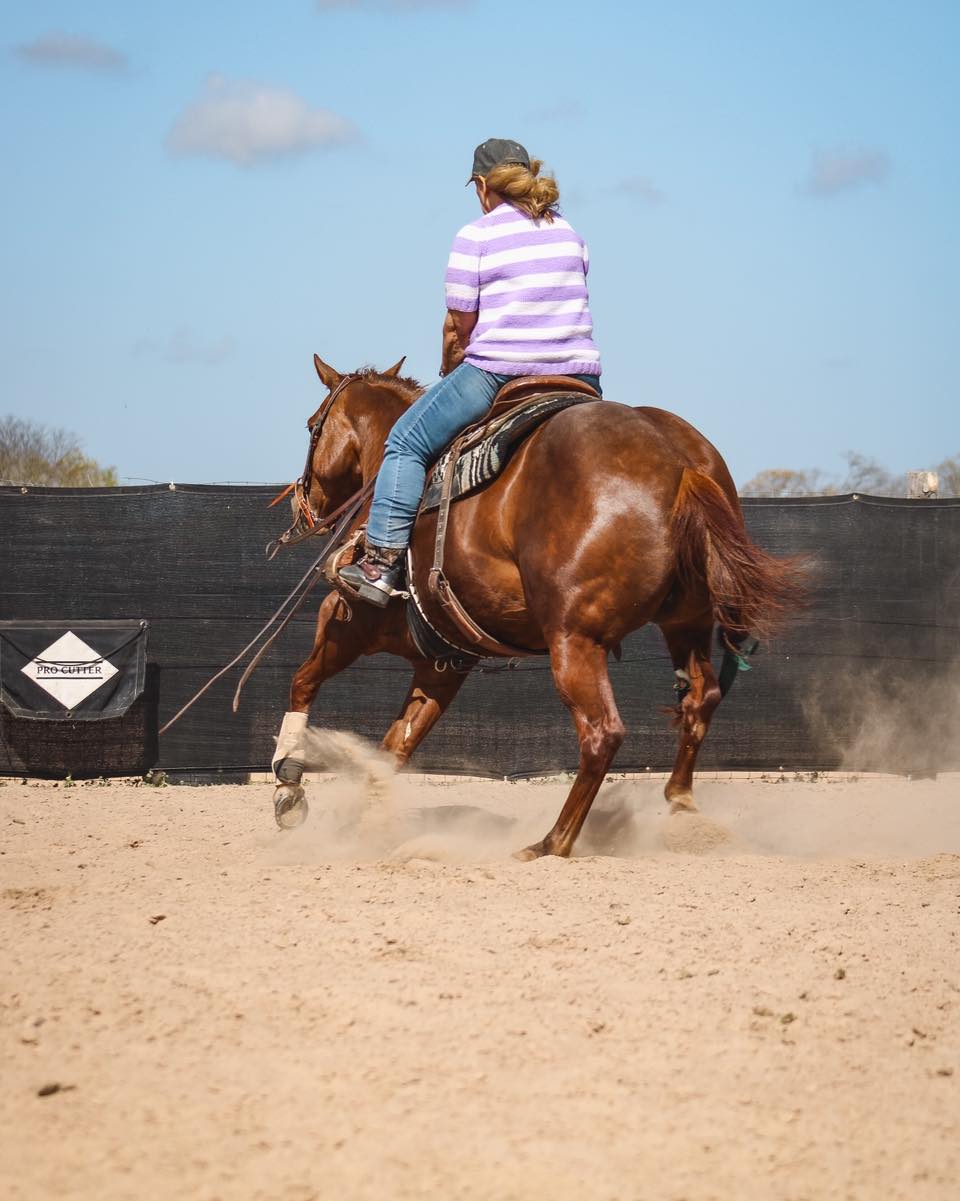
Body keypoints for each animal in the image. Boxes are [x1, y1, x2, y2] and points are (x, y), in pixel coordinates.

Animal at [269, 354, 803, 859]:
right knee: (700, 699)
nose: (302, 506)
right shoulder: (443, 663)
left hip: (575, 640)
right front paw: (362, 824)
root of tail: (680, 464)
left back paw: (551, 843)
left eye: (312, 425)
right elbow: (395, 747)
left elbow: (303, 682)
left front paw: (288, 785)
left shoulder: (349, 622)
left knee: (602, 733)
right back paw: (681, 808)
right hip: (686, 623)